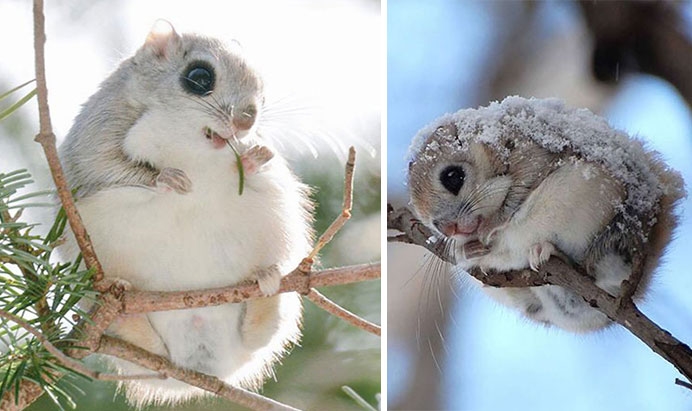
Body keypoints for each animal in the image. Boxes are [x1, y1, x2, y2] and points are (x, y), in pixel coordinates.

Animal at [58, 21, 313, 406]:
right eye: (199, 77)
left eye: (262, 90)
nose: (246, 120)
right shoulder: (95, 139)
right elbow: (109, 166)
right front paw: (167, 179)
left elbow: (256, 163)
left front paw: (257, 155)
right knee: (139, 341)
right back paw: (120, 298)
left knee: (260, 334)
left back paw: (266, 282)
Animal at [407, 96, 685, 333]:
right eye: (428, 220)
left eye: (453, 177)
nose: (448, 229)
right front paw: (465, 249)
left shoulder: (532, 155)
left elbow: (517, 195)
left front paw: (491, 227)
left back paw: (548, 251)